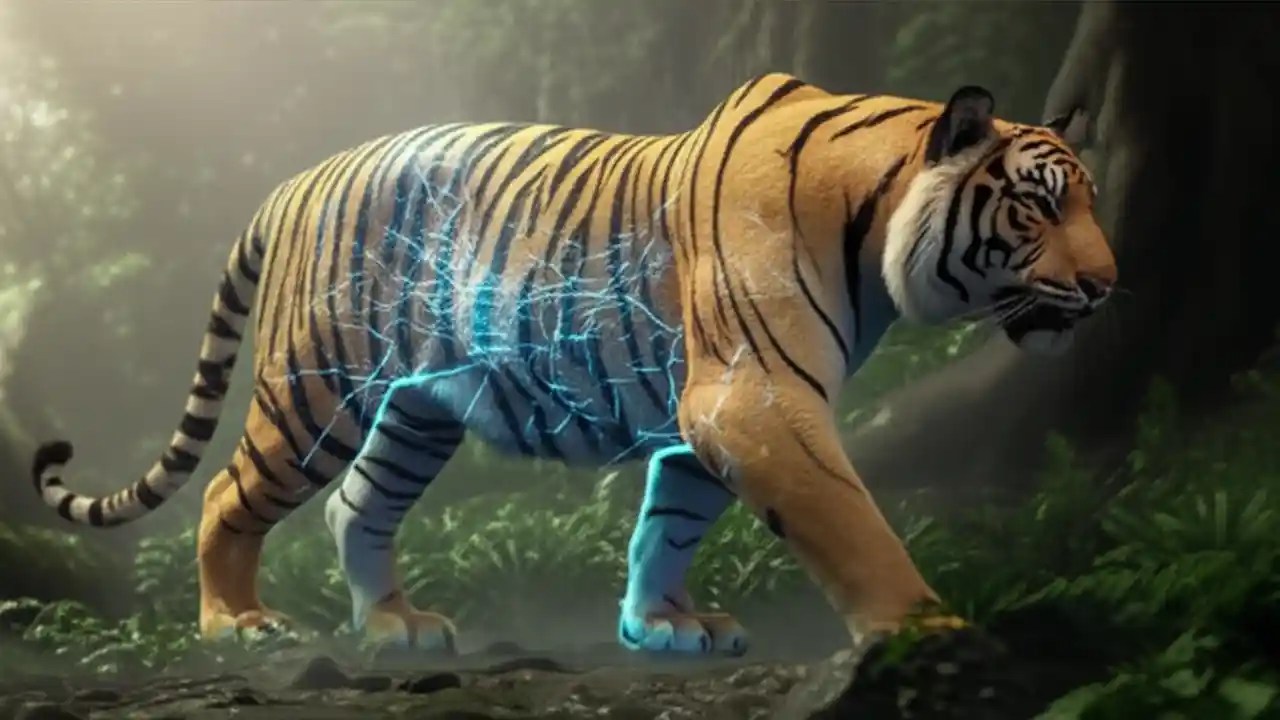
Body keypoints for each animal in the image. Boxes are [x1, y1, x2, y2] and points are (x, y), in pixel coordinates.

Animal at [30, 72, 1115, 657]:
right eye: (1036, 207)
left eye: (1089, 204)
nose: (1107, 286)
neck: (874, 220)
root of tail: (294, 180)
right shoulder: (754, 401)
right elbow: (853, 527)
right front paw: (925, 631)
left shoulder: (704, 421)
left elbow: (667, 528)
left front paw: (664, 629)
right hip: (313, 393)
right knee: (227, 495)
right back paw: (237, 624)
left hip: (420, 408)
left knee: (355, 505)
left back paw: (395, 627)